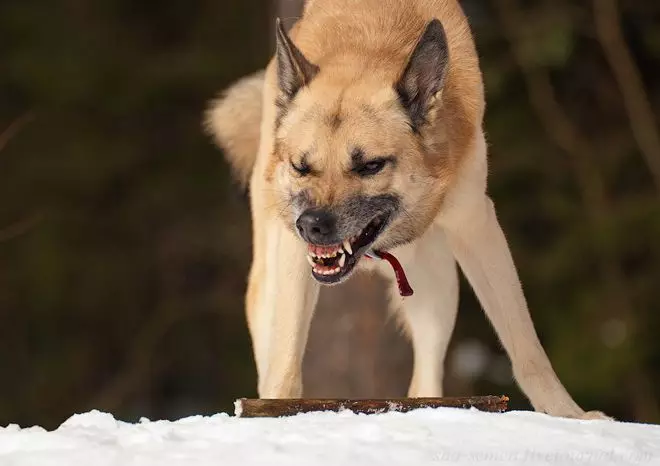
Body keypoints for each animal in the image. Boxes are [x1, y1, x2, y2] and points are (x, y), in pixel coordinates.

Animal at [205, 0, 608, 420]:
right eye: (301, 166)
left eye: (370, 166)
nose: (312, 225)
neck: (368, 43)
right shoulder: (293, 258)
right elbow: (284, 360)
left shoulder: (476, 225)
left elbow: (526, 345)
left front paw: (569, 416)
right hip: (269, 284)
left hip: (438, 283)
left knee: (424, 381)